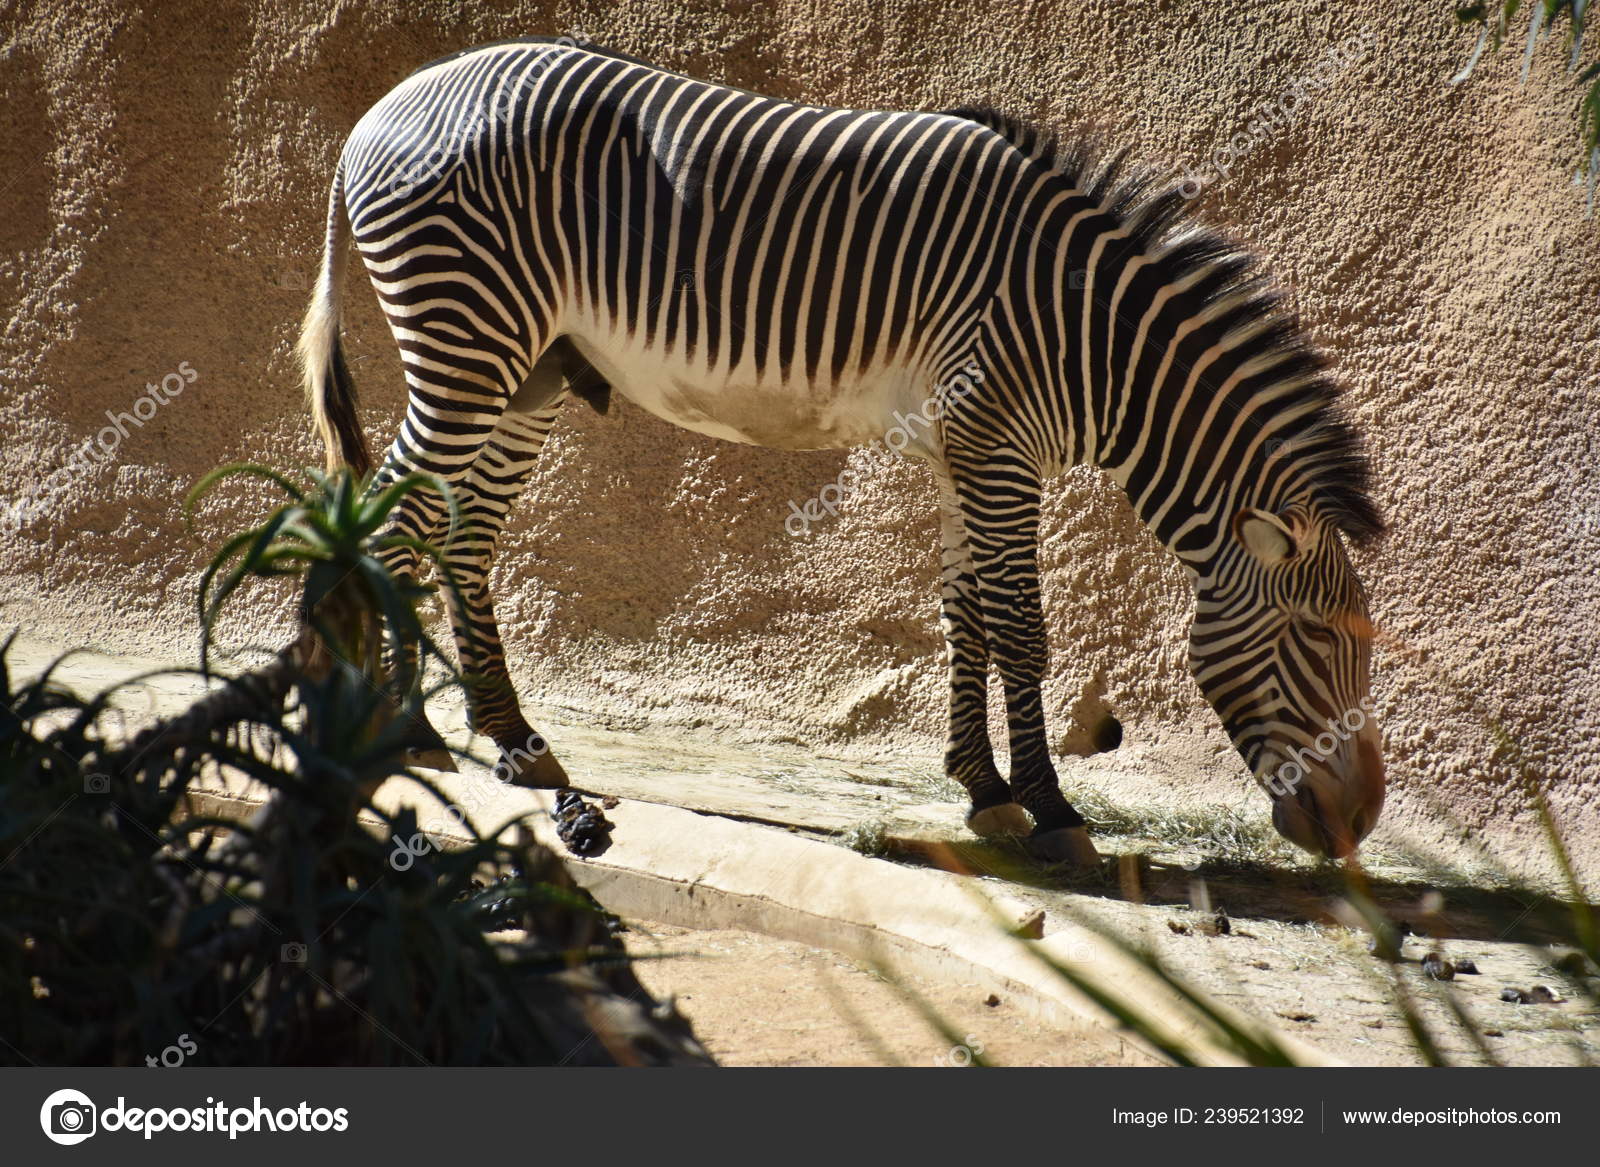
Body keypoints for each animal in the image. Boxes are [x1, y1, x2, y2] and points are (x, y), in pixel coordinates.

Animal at [296, 37, 1388, 865]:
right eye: (1318, 636)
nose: (1364, 822)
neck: (1090, 338)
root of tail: (380, 111)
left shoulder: (962, 446)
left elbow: (965, 615)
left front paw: (982, 789)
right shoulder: (996, 440)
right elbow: (1020, 628)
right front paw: (1052, 806)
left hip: (529, 370)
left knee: (459, 534)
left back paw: (501, 741)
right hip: (470, 339)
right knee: (390, 518)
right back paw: (376, 722)